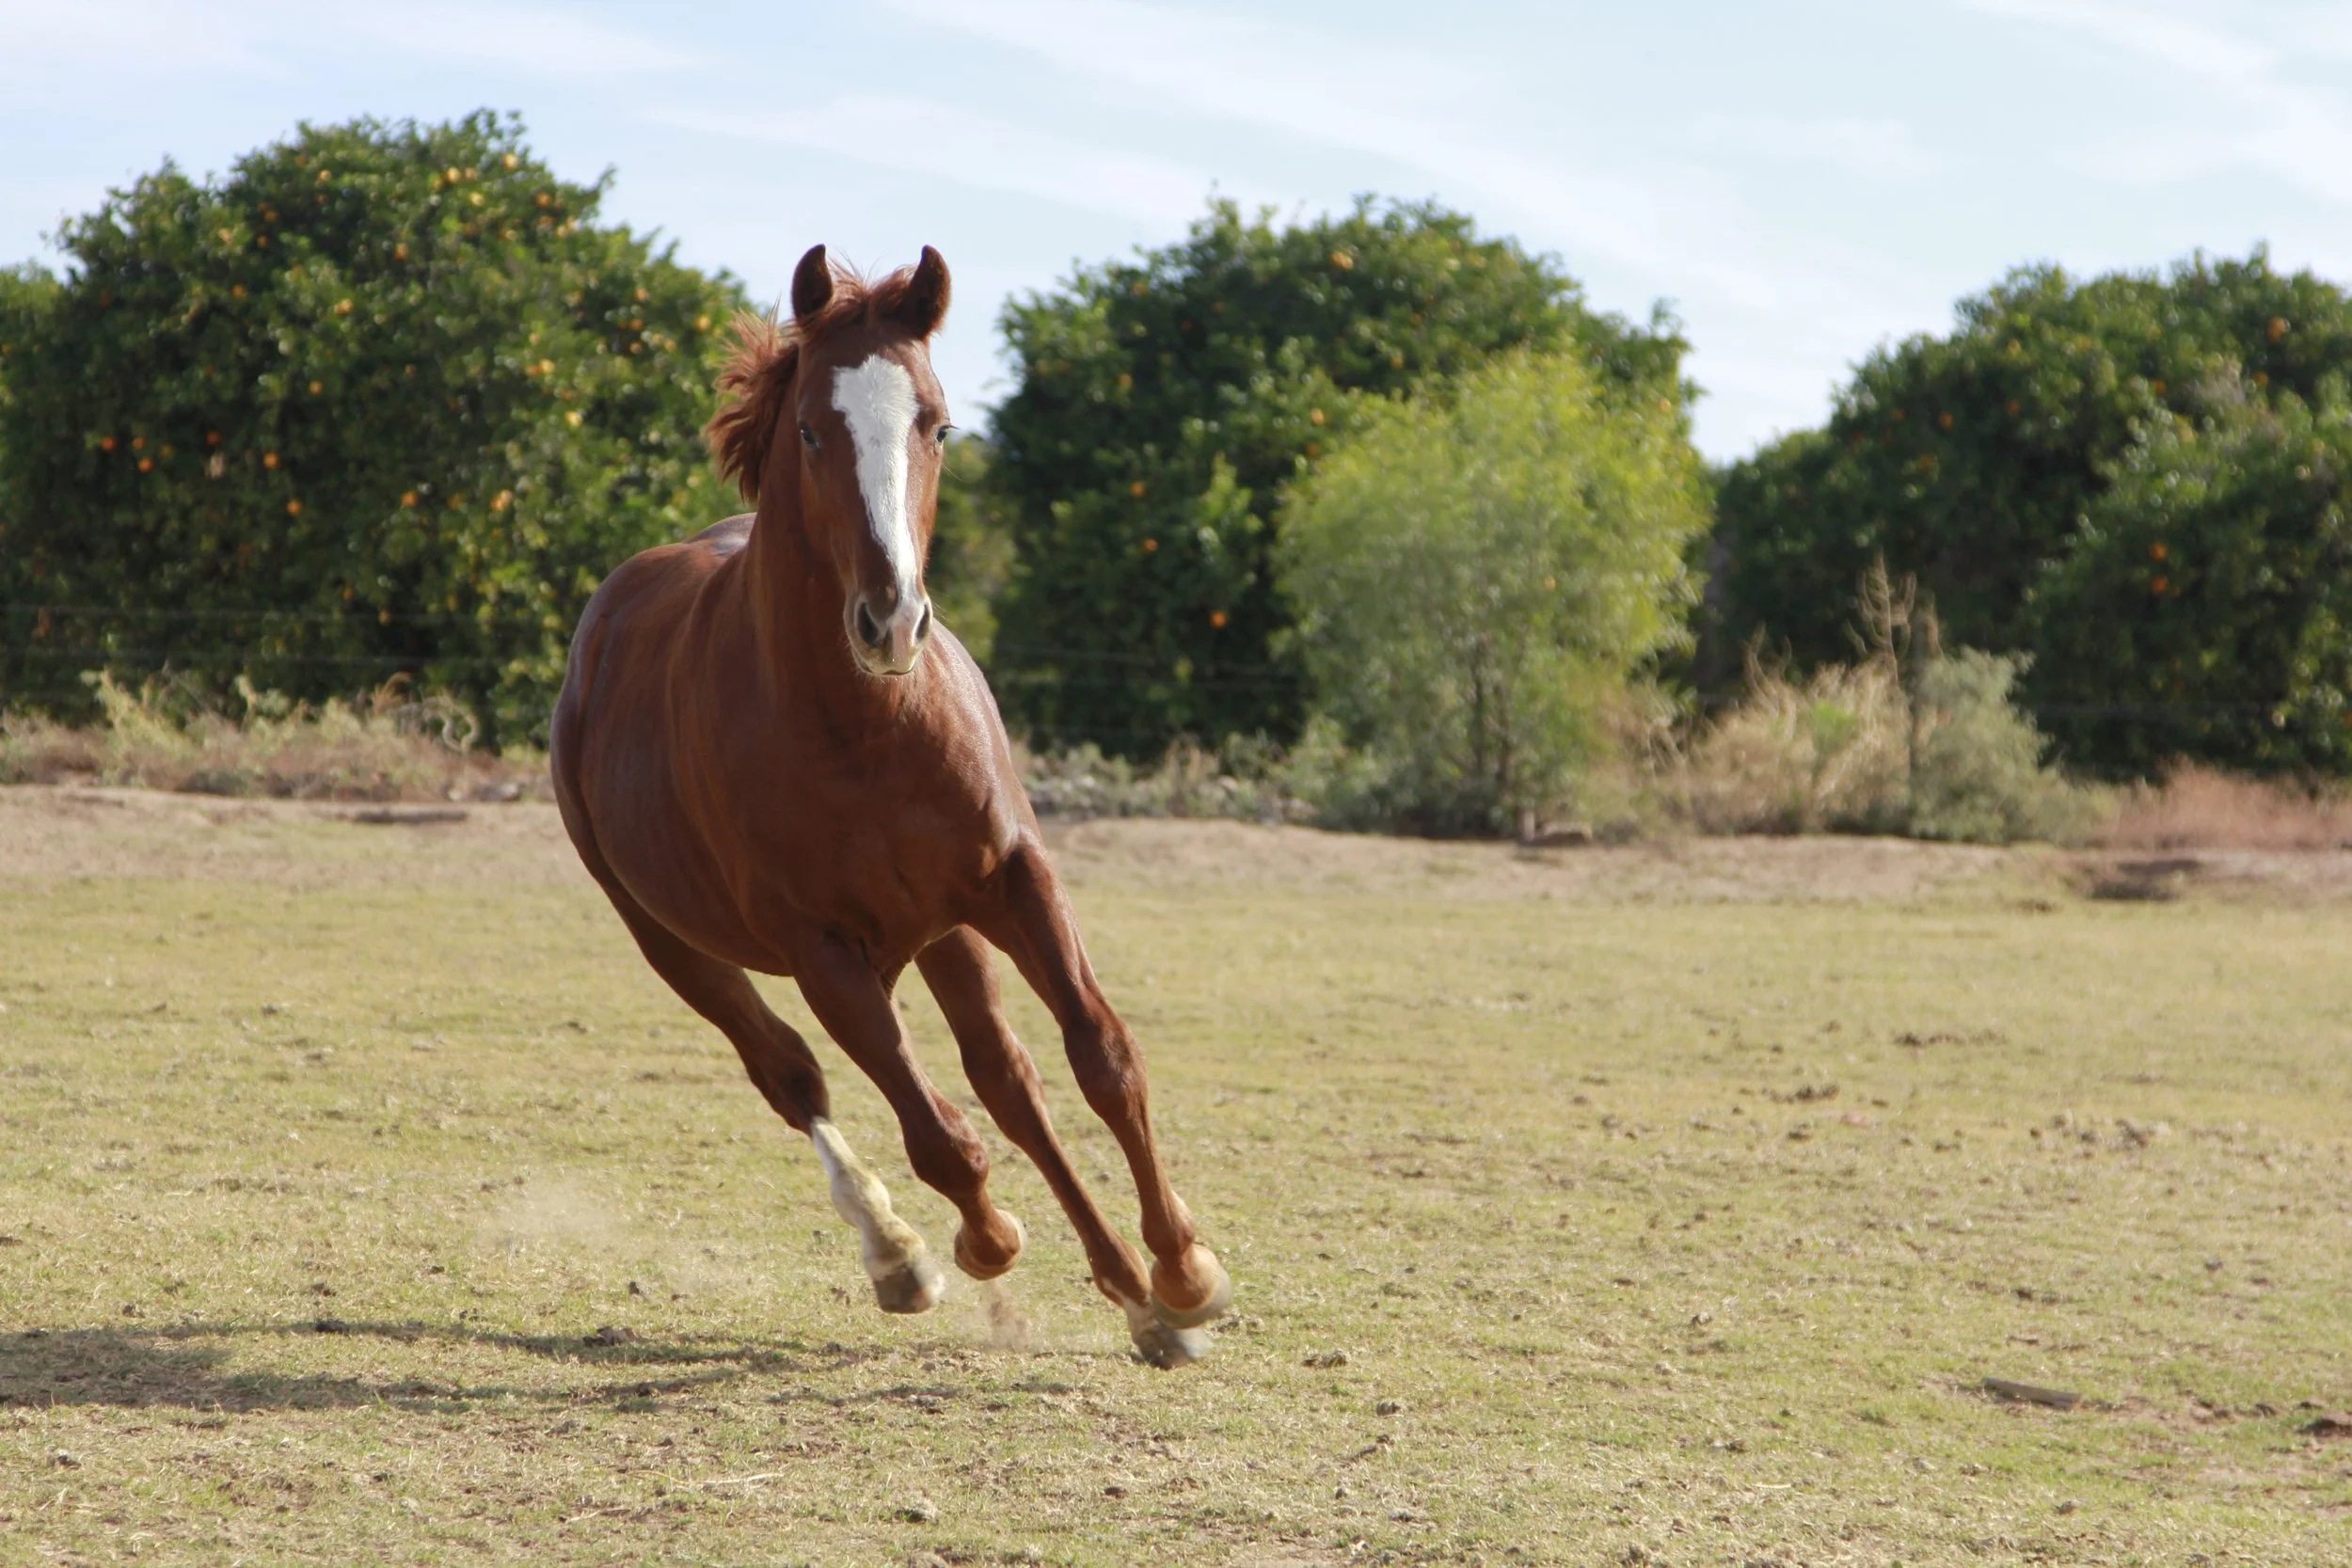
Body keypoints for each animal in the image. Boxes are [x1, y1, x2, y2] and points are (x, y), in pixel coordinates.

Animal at [548, 244, 1232, 1368]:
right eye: (812, 430)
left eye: (938, 423)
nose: (891, 619)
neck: (866, 729)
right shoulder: (824, 952)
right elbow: (939, 1137)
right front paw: (987, 1241)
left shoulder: (1014, 878)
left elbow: (1101, 1057)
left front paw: (1180, 1274)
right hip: (673, 941)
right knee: (792, 1077)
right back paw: (900, 1254)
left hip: (946, 928)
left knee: (1007, 1078)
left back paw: (1134, 1293)